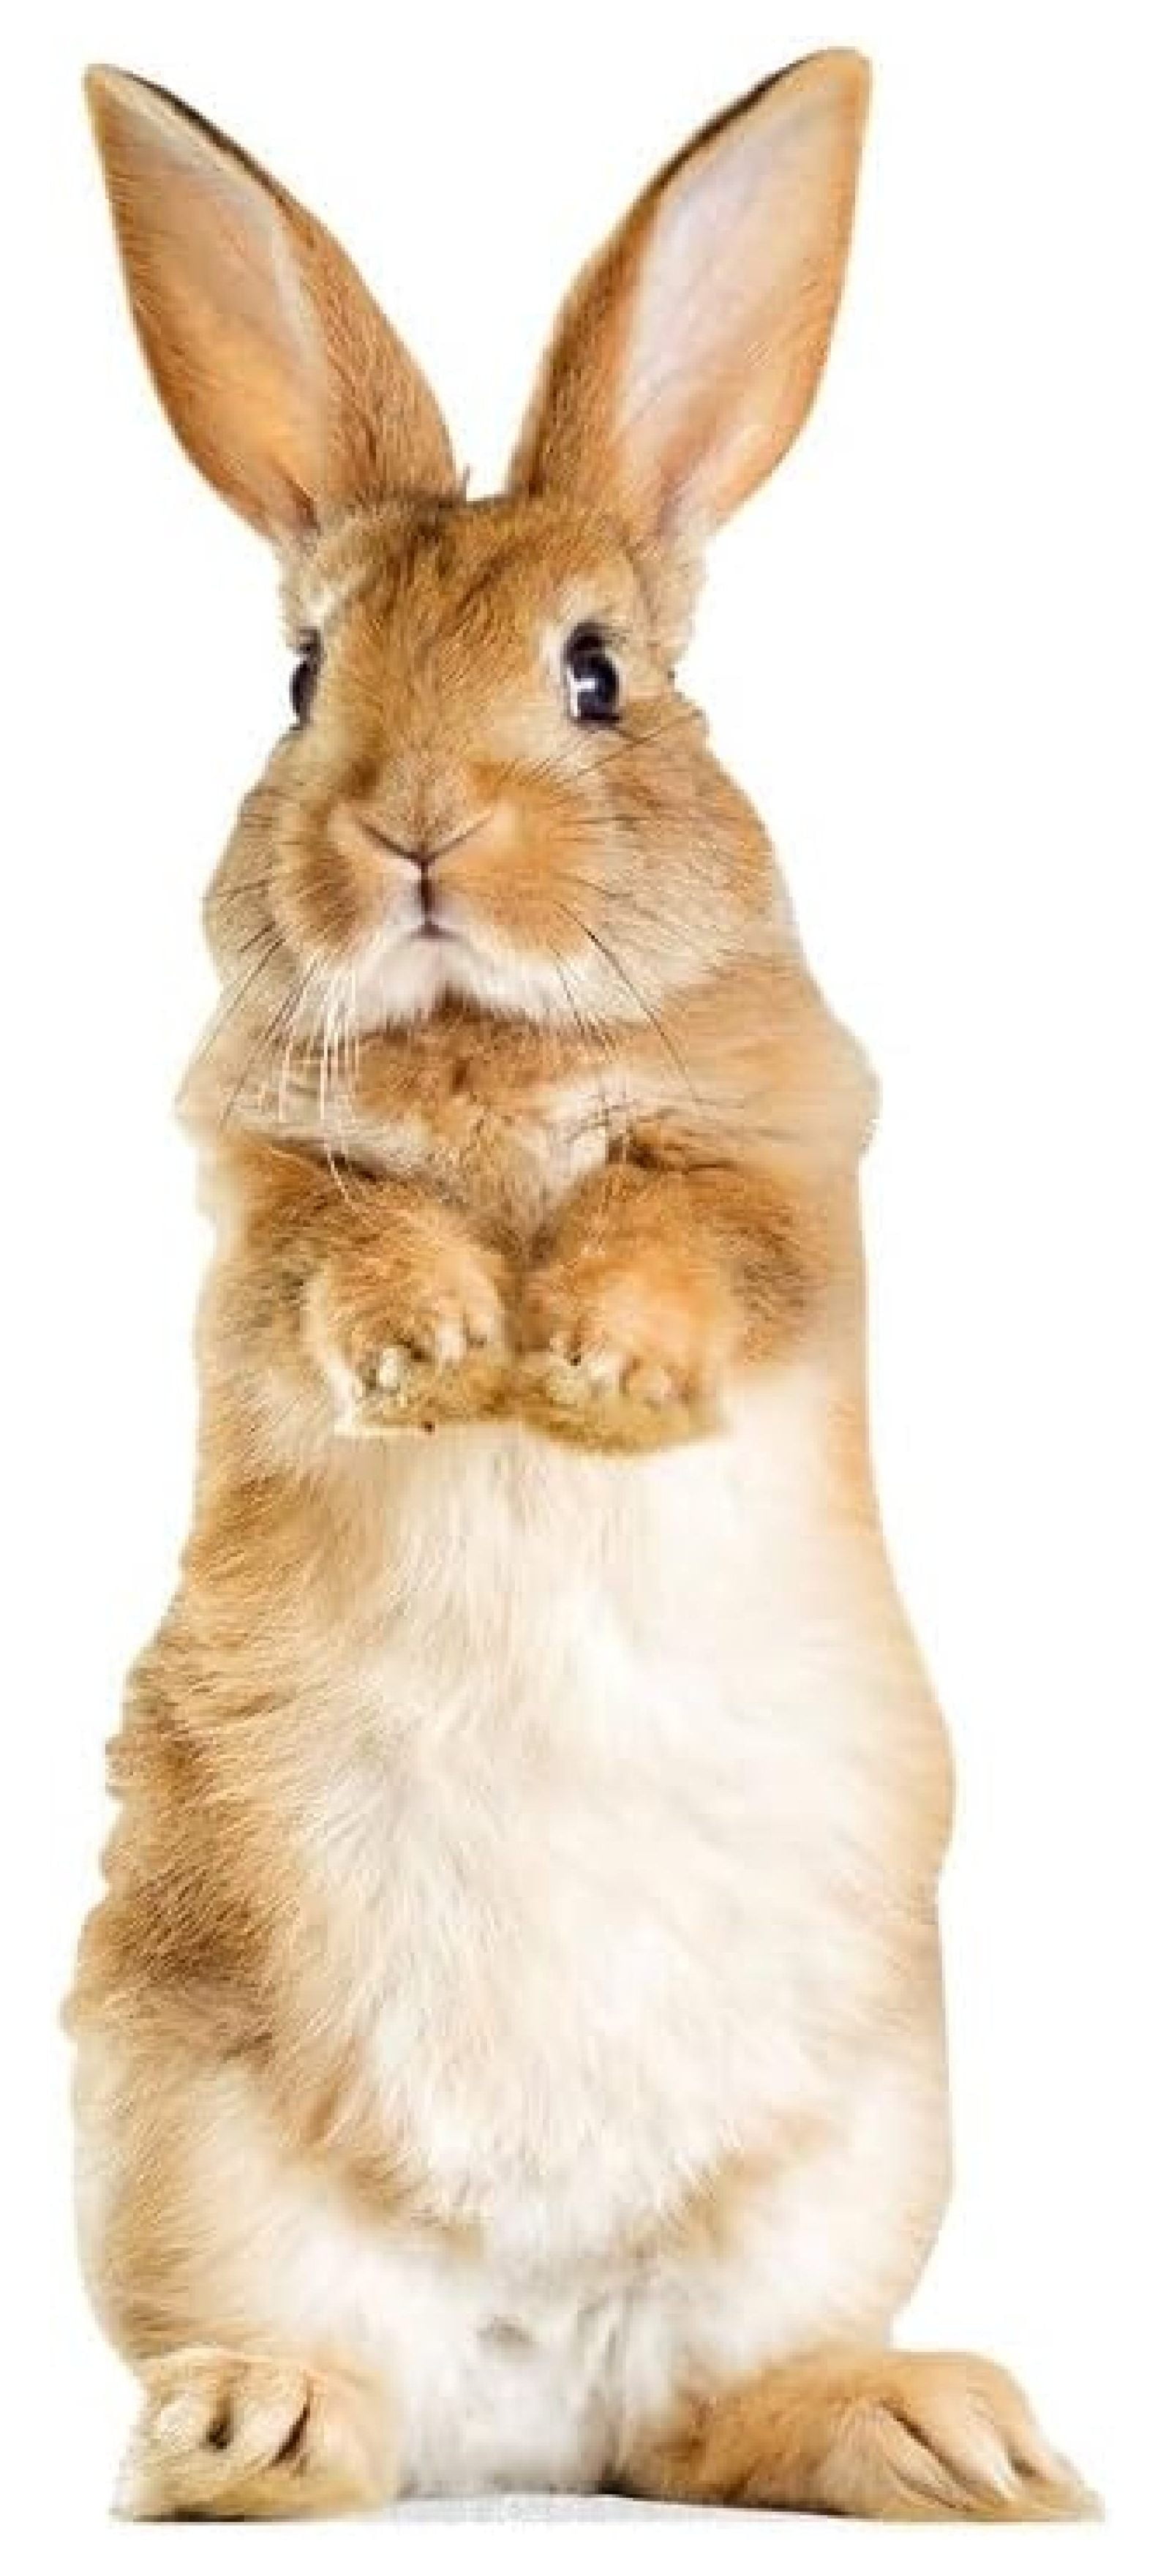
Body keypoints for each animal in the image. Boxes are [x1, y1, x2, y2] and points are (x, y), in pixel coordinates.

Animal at [68, 53, 1095, 2521]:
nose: (416, 829)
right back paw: (251, 2426)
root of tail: (529, 2375)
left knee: (727, 2410)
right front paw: (451, 1353)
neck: (489, 1036)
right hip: (174, 2118)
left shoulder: (785, 1183)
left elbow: (685, 1245)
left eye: (599, 675)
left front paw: (588, 1372)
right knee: (326, 2387)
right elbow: (344, 1263)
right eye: (302, 677)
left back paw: (946, 2434)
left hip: (846, 2170)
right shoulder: (259, 1208)